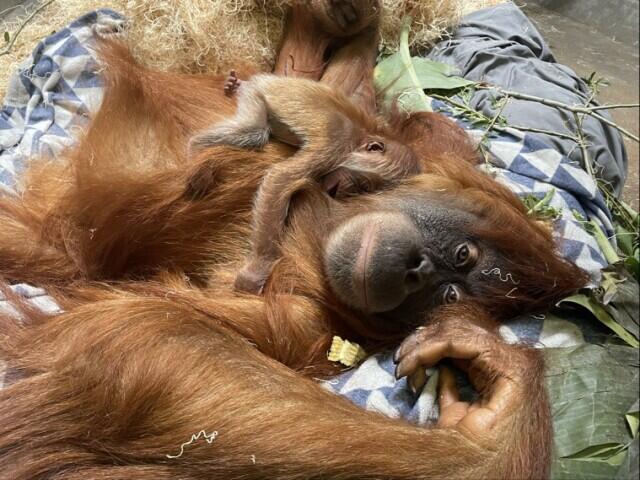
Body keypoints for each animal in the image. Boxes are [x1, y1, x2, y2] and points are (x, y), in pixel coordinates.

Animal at [189, 72, 422, 295]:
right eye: (362, 185)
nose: (347, 191)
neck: (360, 134)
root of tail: (264, 80)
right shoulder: (335, 145)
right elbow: (280, 178)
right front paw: (257, 271)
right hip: (256, 95)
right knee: (254, 132)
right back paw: (194, 149)